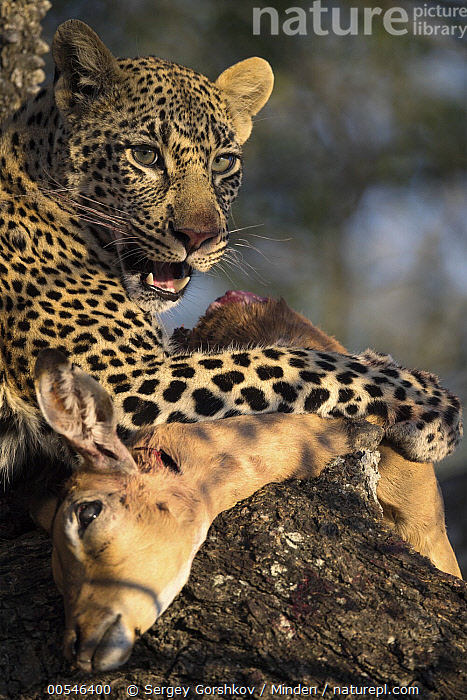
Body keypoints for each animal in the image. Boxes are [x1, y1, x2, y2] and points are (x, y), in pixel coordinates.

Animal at [0, 19, 462, 492]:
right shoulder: (118, 379)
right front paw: (428, 401)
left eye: (222, 163)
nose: (198, 237)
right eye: (145, 155)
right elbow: (282, 360)